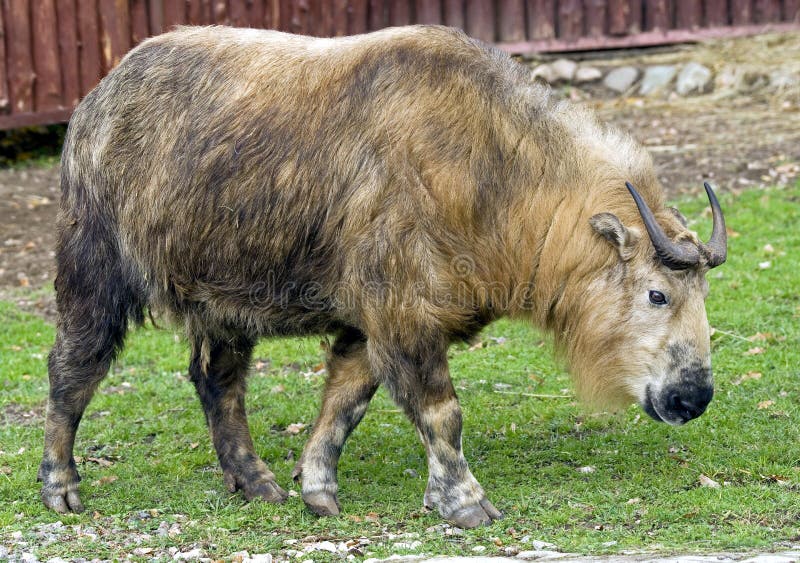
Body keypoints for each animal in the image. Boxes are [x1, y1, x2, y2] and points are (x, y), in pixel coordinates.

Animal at [39, 25, 726, 529]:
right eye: (658, 294)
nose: (693, 398)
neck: (492, 174)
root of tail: (97, 101)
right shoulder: (403, 316)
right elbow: (441, 412)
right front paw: (465, 502)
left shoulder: (373, 322)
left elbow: (345, 402)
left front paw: (317, 487)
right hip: (94, 276)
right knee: (74, 371)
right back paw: (61, 486)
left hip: (224, 303)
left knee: (218, 383)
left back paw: (256, 482)